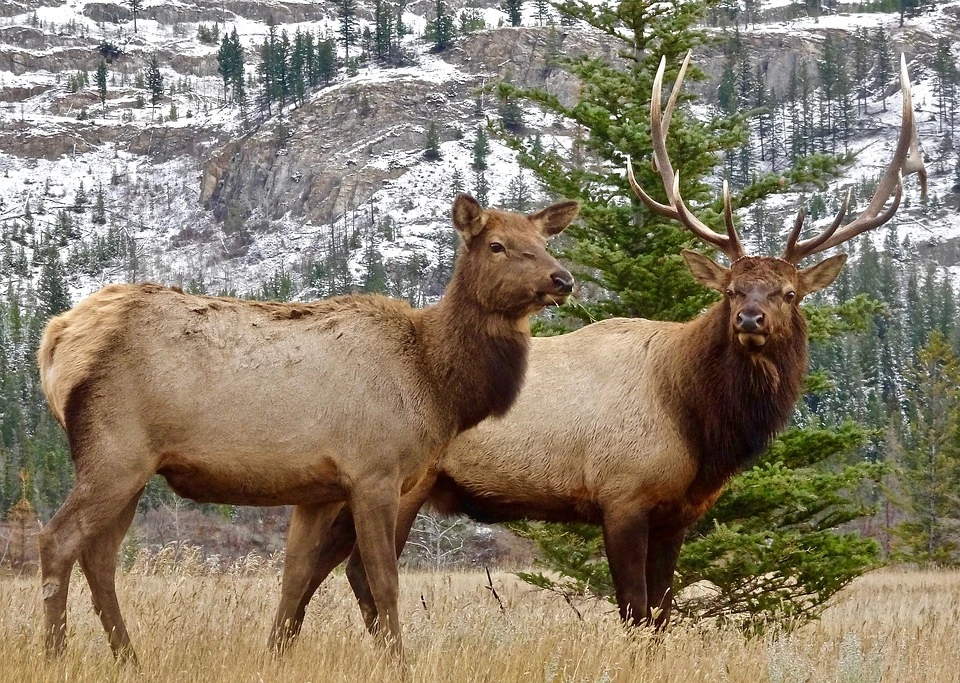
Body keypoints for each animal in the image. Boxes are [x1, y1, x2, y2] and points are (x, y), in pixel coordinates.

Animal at [35, 193, 578, 663]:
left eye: (544, 240)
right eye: (497, 245)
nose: (563, 278)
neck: (433, 383)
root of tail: (56, 337)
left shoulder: (317, 490)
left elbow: (295, 579)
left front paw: (273, 657)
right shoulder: (374, 472)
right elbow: (382, 580)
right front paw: (399, 663)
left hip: (129, 465)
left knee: (99, 555)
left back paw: (129, 658)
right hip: (114, 450)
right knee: (58, 539)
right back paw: (57, 655)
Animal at [270, 53, 926, 642]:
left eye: (789, 292)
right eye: (730, 289)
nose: (750, 318)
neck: (697, 421)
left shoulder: (677, 514)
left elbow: (661, 614)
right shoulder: (622, 496)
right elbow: (634, 610)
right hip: (398, 478)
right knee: (351, 571)